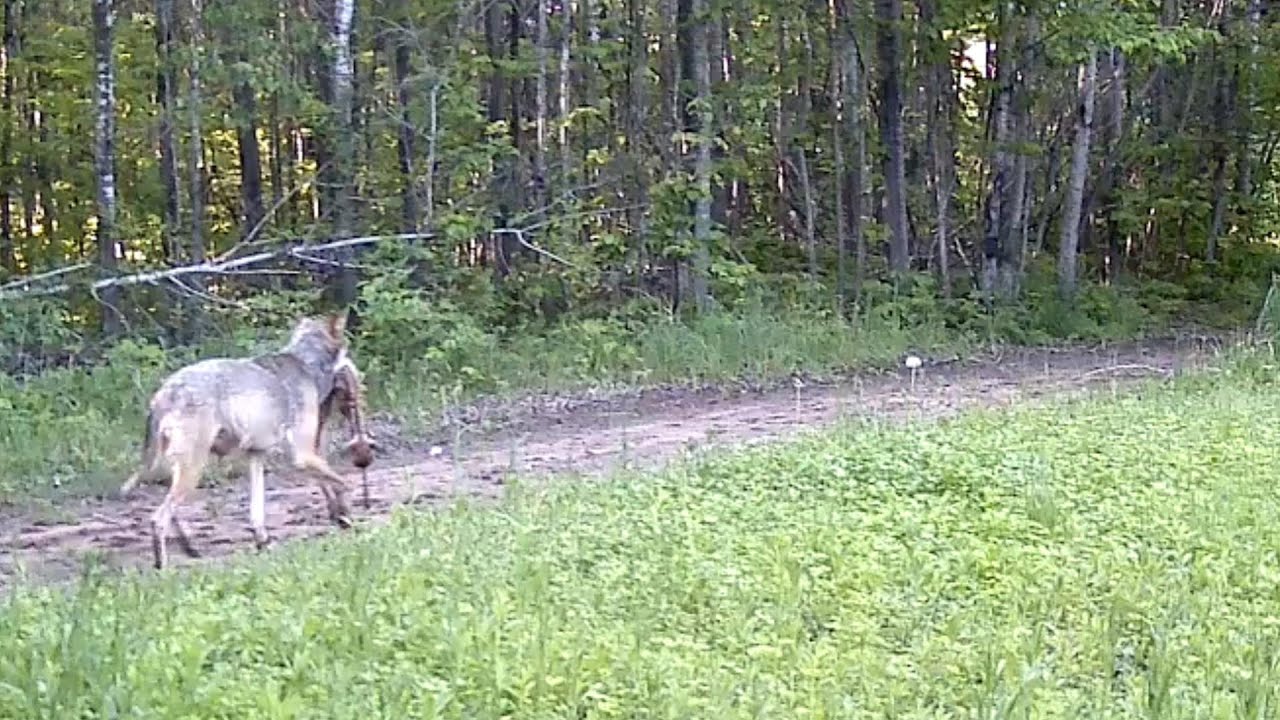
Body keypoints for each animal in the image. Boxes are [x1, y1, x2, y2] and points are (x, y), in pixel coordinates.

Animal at [118, 313, 366, 569]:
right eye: (347, 352)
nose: (358, 377)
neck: (306, 362)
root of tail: (163, 394)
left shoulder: (256, 455)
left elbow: (257, 511)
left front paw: (262, 541)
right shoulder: (302, 456)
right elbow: (344, 484)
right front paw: (348, 517)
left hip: (178, 469)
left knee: (170, 512)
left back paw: (190, 548)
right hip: (193, 469)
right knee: (158, 518)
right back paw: (163, 566)